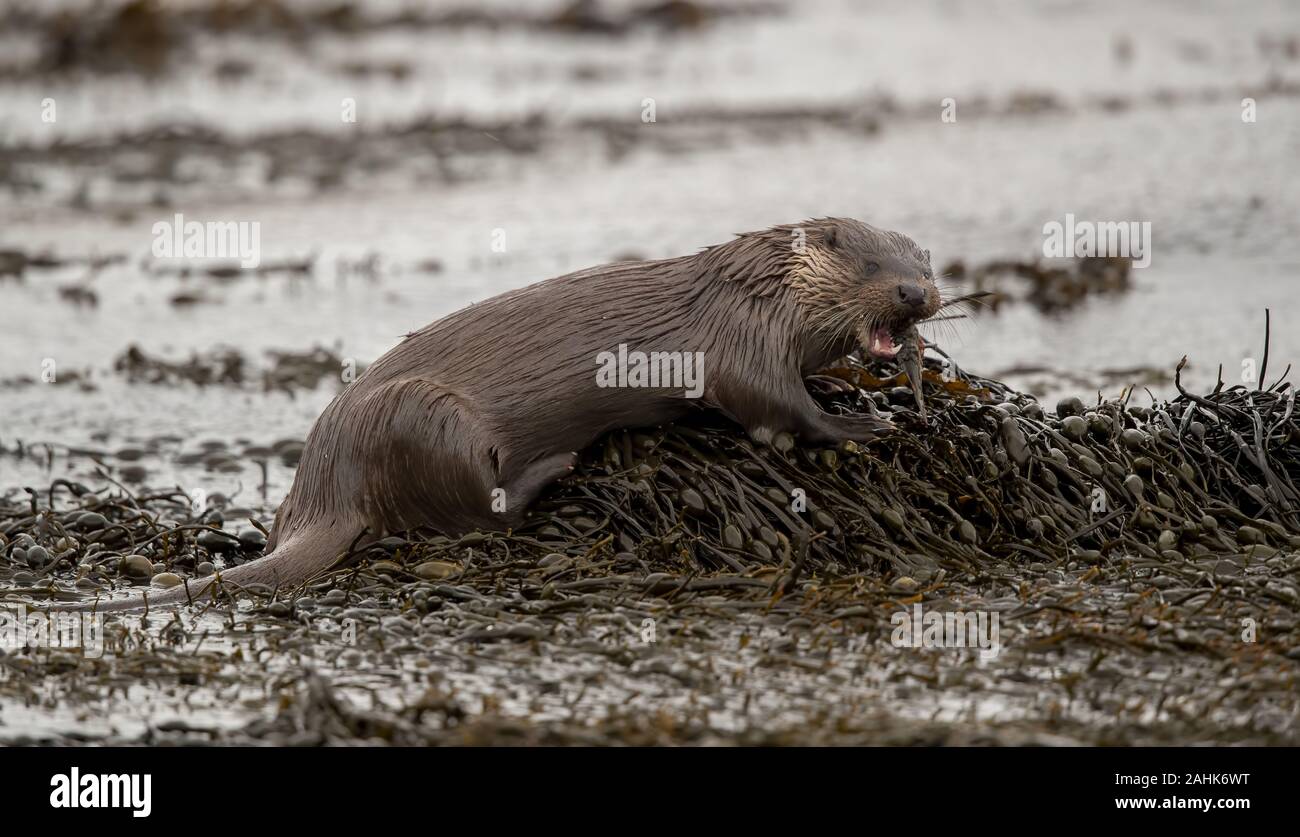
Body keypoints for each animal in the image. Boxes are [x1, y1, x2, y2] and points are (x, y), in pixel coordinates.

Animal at [72, 218, 941, 612]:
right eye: (872, 262)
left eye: (924, 259)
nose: (919, 294)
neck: (763, 291)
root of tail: (327, 486)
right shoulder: (741, 341)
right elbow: (773, 407)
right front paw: (864, 422)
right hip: (426, 417)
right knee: (483, 512)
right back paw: (555, 465)